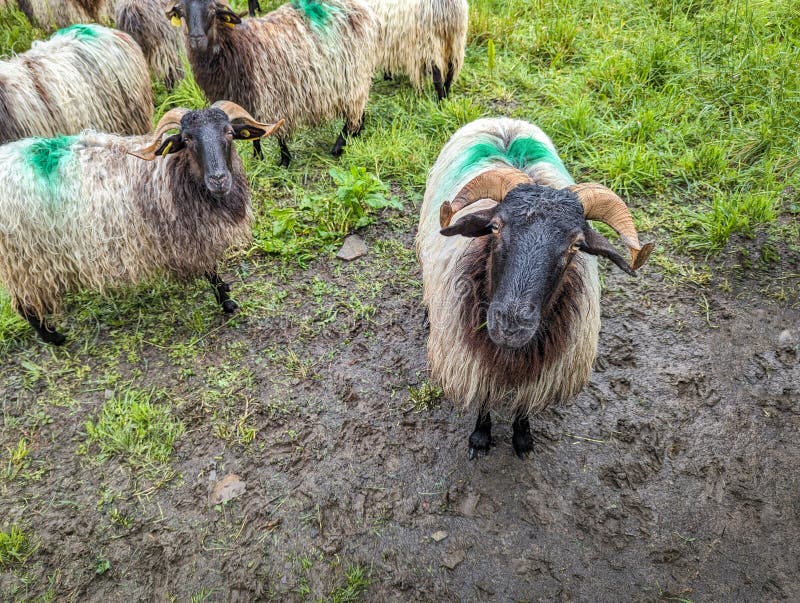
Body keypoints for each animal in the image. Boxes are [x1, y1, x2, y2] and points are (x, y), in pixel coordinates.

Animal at [0, 101, 284, 345]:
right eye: (188, 139)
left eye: (229, 132)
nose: (219, 179)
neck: (168, 172)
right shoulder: (190, 238)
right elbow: (211, 271)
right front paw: (226, 302)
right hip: (24, 257)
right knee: (24, 304)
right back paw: (55, 338)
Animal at [167, 0, 379, 166]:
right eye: (182, 12)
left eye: (212, 10)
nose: (196, 40)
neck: (236, 45)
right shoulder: (239, 99)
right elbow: (250, 131)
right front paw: (257, 158)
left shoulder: (274, 94)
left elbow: (275, 131)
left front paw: (284, 160)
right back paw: (355, 135)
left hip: (353, 72)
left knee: (355, 108)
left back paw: (339, 145)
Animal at [416, 117, 654, 459]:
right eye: (495, 227)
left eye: (576, 245)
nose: (511, 324)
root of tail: (503, 121)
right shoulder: (475, 363)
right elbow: (484, 400)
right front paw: (480, 438)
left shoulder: (541, 372)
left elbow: (523, 407)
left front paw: (523, 439)